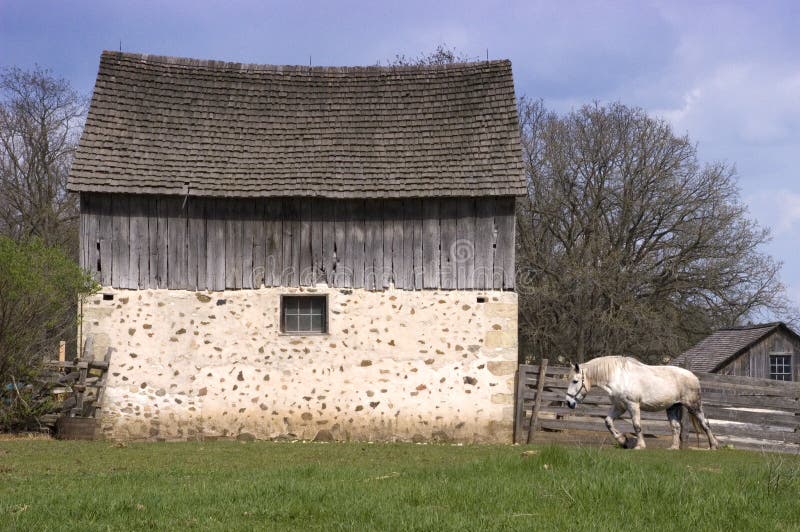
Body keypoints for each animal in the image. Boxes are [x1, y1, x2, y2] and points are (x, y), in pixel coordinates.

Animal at [565, 356, 719, 450]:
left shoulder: (632, 405)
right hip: (672, 407)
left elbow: (637, 425)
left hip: (694, 406)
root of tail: (694, 377)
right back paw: (673, 448)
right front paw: (623, 440)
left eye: (575, 381)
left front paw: (639, 445)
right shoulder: (619, 406)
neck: (618, 377)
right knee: (676, 427)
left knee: (705, 424)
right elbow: (608, 422)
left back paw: (713, 446)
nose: (568, 402)